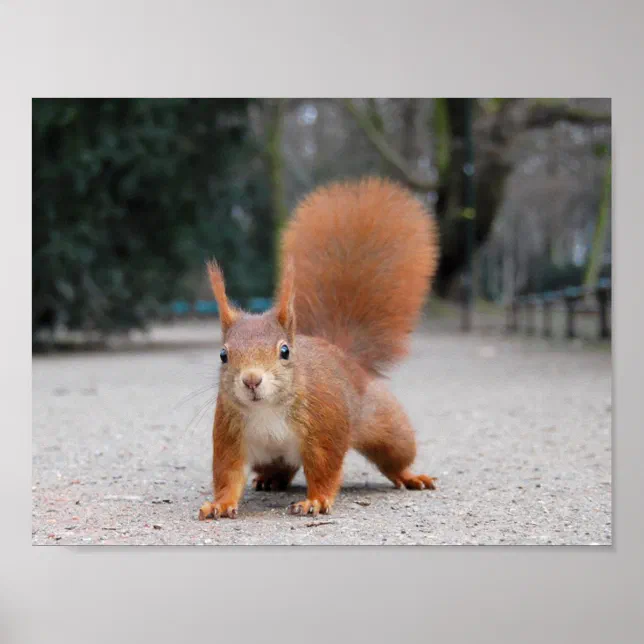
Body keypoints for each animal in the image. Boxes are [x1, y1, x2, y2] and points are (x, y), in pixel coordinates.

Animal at [199, 177, 440, 520]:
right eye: (223, 355)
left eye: (285, 351)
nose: (251, 380)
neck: (267, 409)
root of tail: (343, 354)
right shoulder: (230, 435)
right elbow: (228, 474)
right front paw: (219, 504)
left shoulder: (324, 427)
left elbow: (324, 469)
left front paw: (315, 500)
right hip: (269, 456)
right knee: (281, 467)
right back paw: (270, 479)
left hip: (387, 426)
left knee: (395, 457)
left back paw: (410, 476)